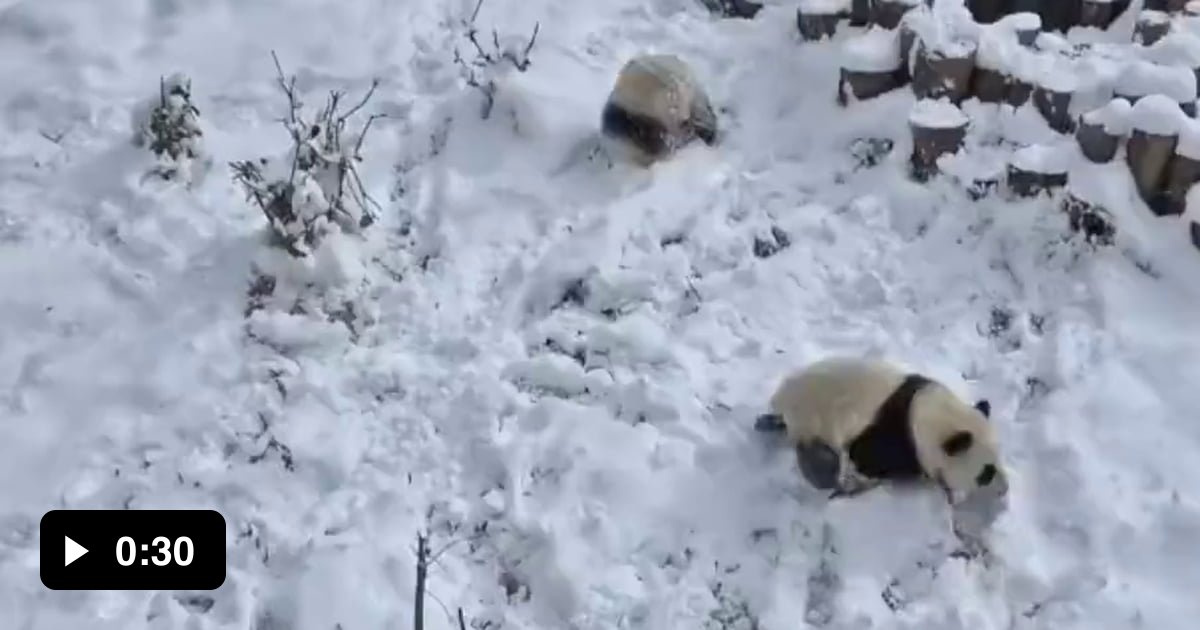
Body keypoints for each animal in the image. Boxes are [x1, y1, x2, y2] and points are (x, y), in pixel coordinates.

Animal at [754, 356, 1008, 507]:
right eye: (986, 473)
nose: (1004, 490)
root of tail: (780, 398)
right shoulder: (893, 437)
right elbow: (871, 460)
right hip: (814, 421)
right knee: (821, 462)